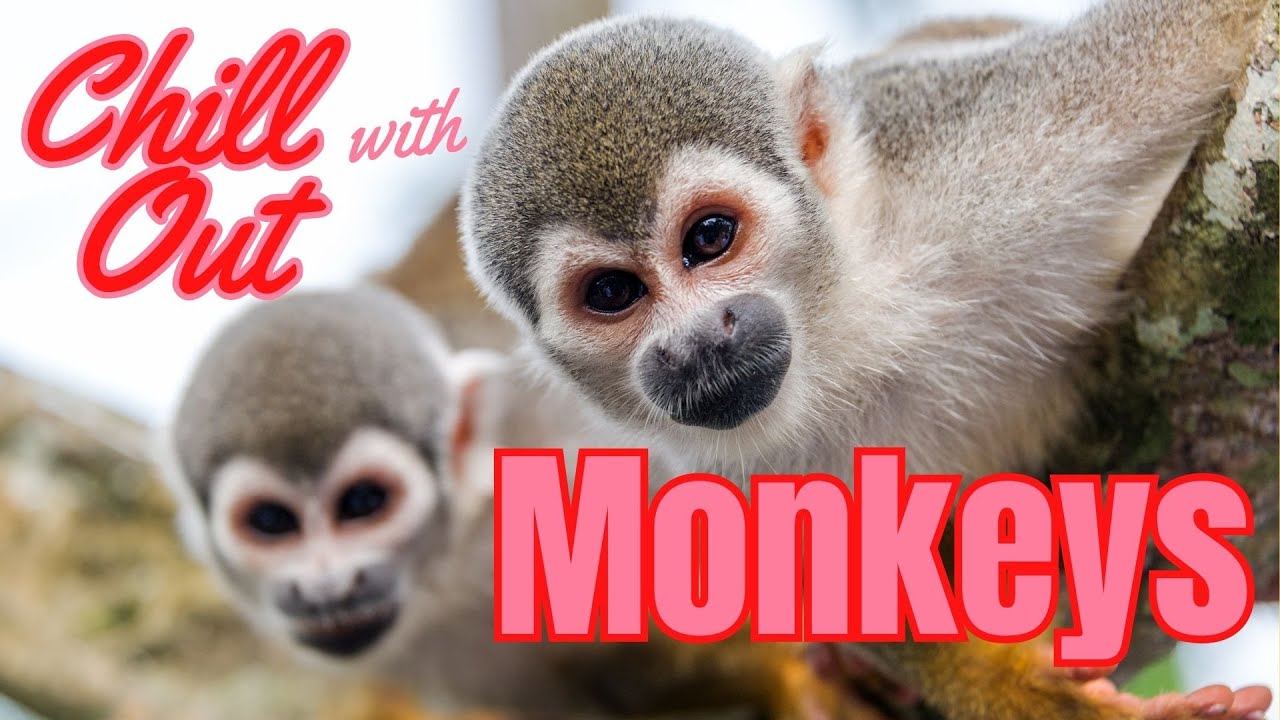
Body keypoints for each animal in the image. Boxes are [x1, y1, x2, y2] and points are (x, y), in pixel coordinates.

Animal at [457, 2, 1273, 719]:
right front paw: (1042, 699)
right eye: (612, 293)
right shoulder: (723, 465)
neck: (847, 335)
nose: (696, 342)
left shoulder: (982, 141)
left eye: (710, 237)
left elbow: (1190, 39)